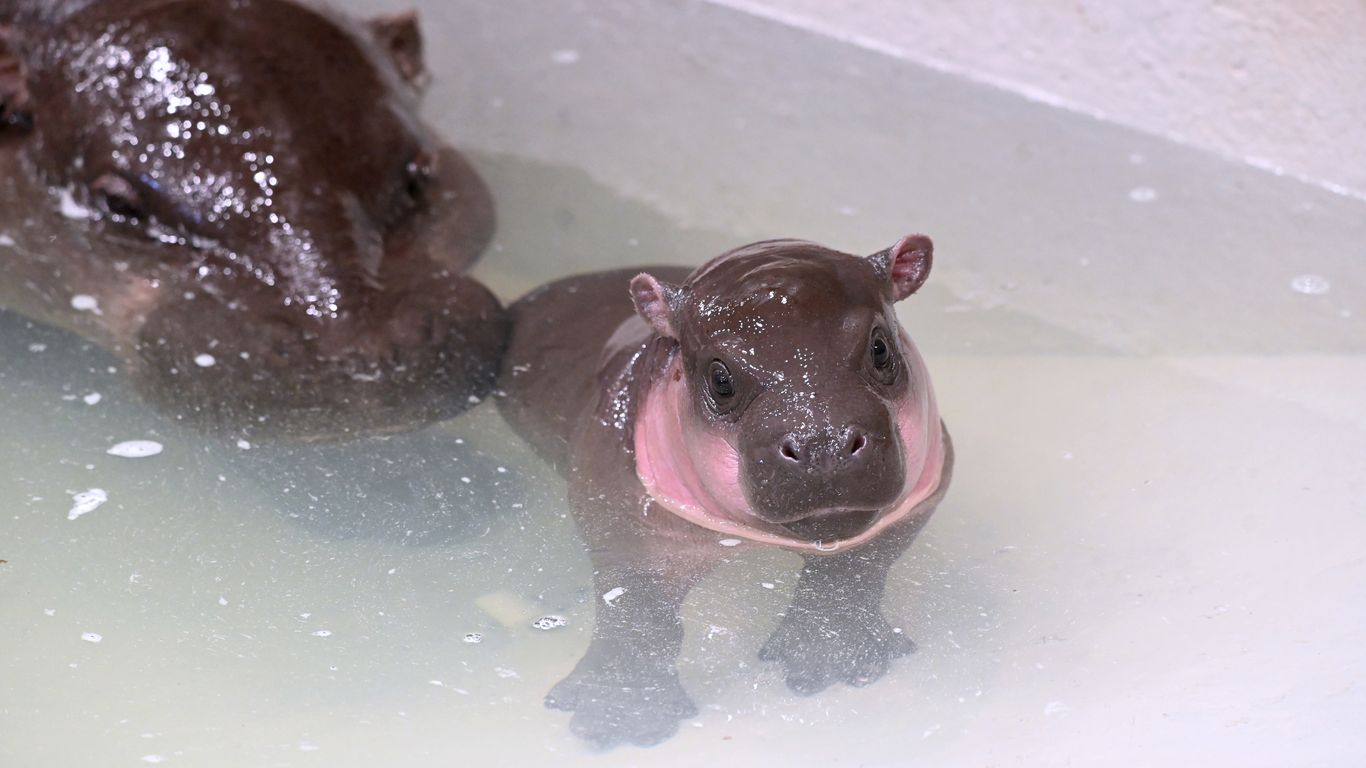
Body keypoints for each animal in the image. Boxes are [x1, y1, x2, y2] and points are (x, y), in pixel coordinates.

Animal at [499, 235, 953, 747]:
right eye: (720, 378)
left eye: (879, 348)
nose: (823, 444)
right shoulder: (624, 520)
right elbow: (636, 609)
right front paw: (620, 714)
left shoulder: (918, 498)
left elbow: (854, 571)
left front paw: (831, 655)